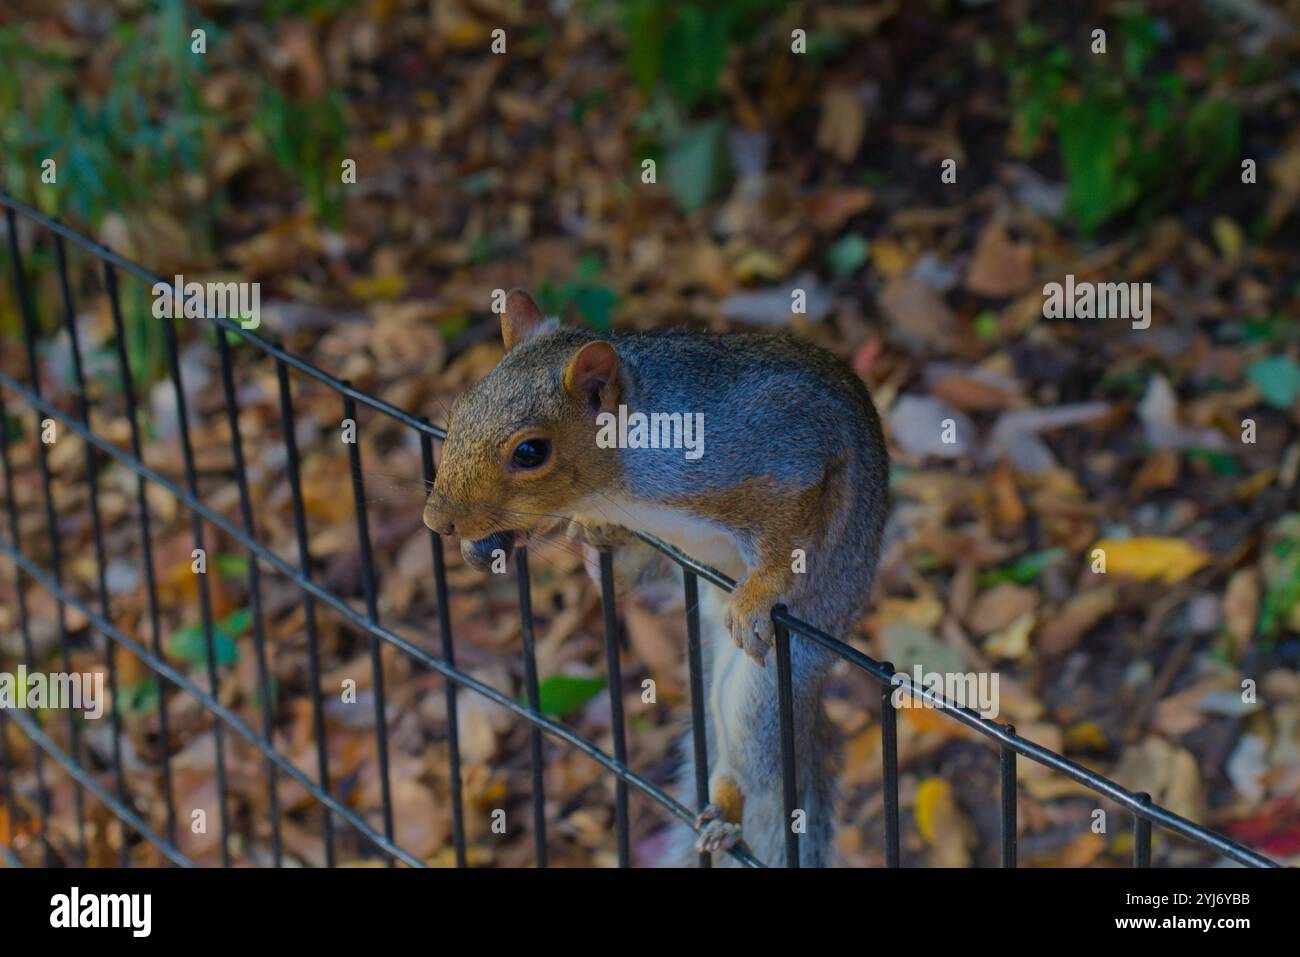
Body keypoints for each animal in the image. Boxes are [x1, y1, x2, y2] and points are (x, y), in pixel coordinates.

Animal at [424, 289, 889, 866]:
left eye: (531, 451)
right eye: (461, 409)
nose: (436, 520)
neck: (622, 477)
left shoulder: (783, 453)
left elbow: (789, 536)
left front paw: (758, 595)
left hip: (782, 672)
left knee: (753, 744)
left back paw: (729, 817)